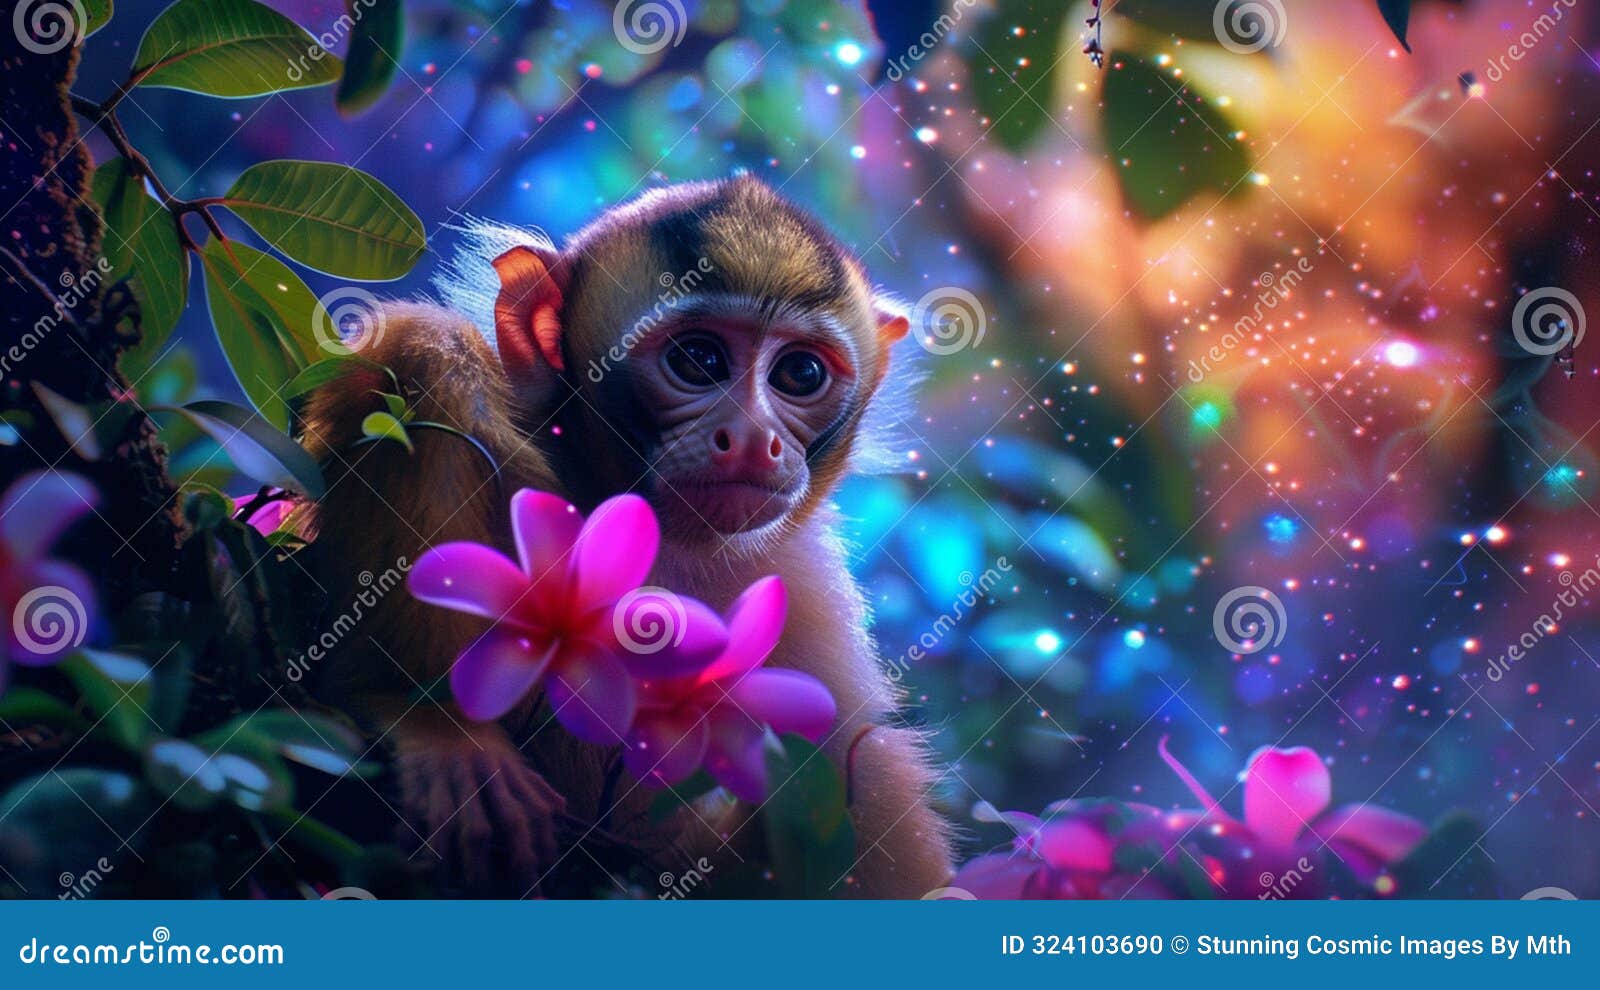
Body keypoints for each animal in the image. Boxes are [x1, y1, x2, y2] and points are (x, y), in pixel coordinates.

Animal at [299, 176, 955, 898]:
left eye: (799, 375)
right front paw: (430, 722)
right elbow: (422, 354)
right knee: (424, 345)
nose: (753, 438)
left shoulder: (801, 581)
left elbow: (848, 760)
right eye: (697, 359)